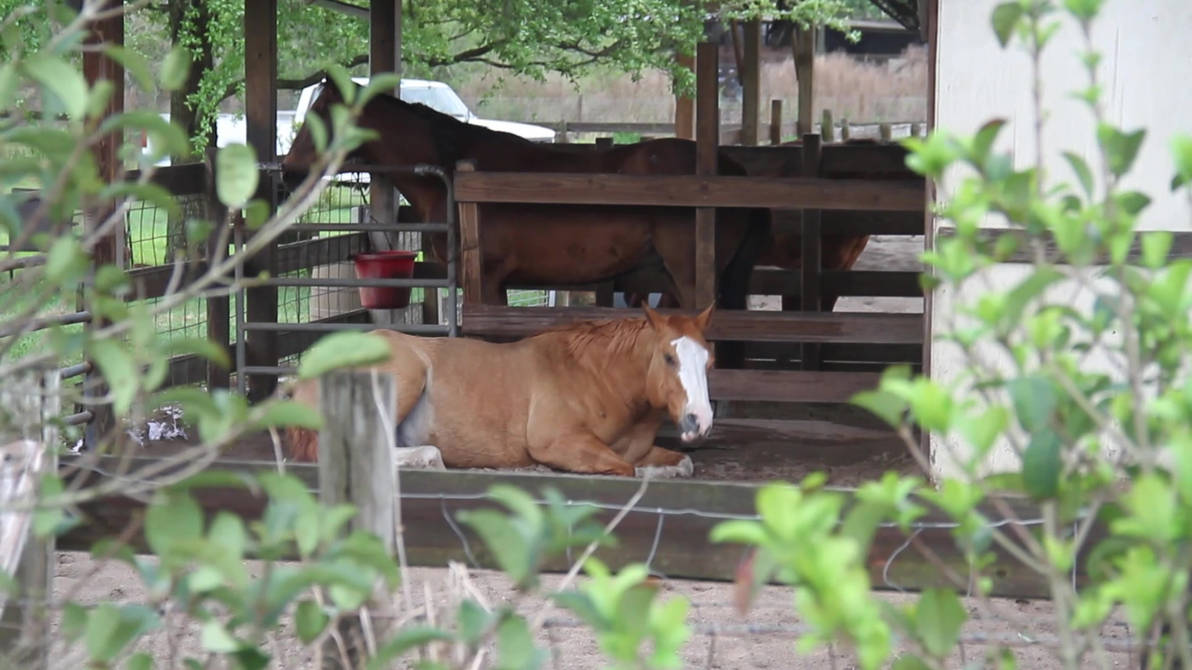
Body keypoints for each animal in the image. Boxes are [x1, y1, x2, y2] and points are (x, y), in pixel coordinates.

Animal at [281, 82, 769, 316]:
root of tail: (731, 168)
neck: (453, 173)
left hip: (689, 276)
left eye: (320, 114)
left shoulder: (486, 279)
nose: (288, 172)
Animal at [284, 305, 716, 478]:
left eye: (709, 360)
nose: (700, 420)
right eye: (668, 357)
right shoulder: (559, 442)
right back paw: (428, 460)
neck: (594, 376)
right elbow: (626, 469)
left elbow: (679, 464)